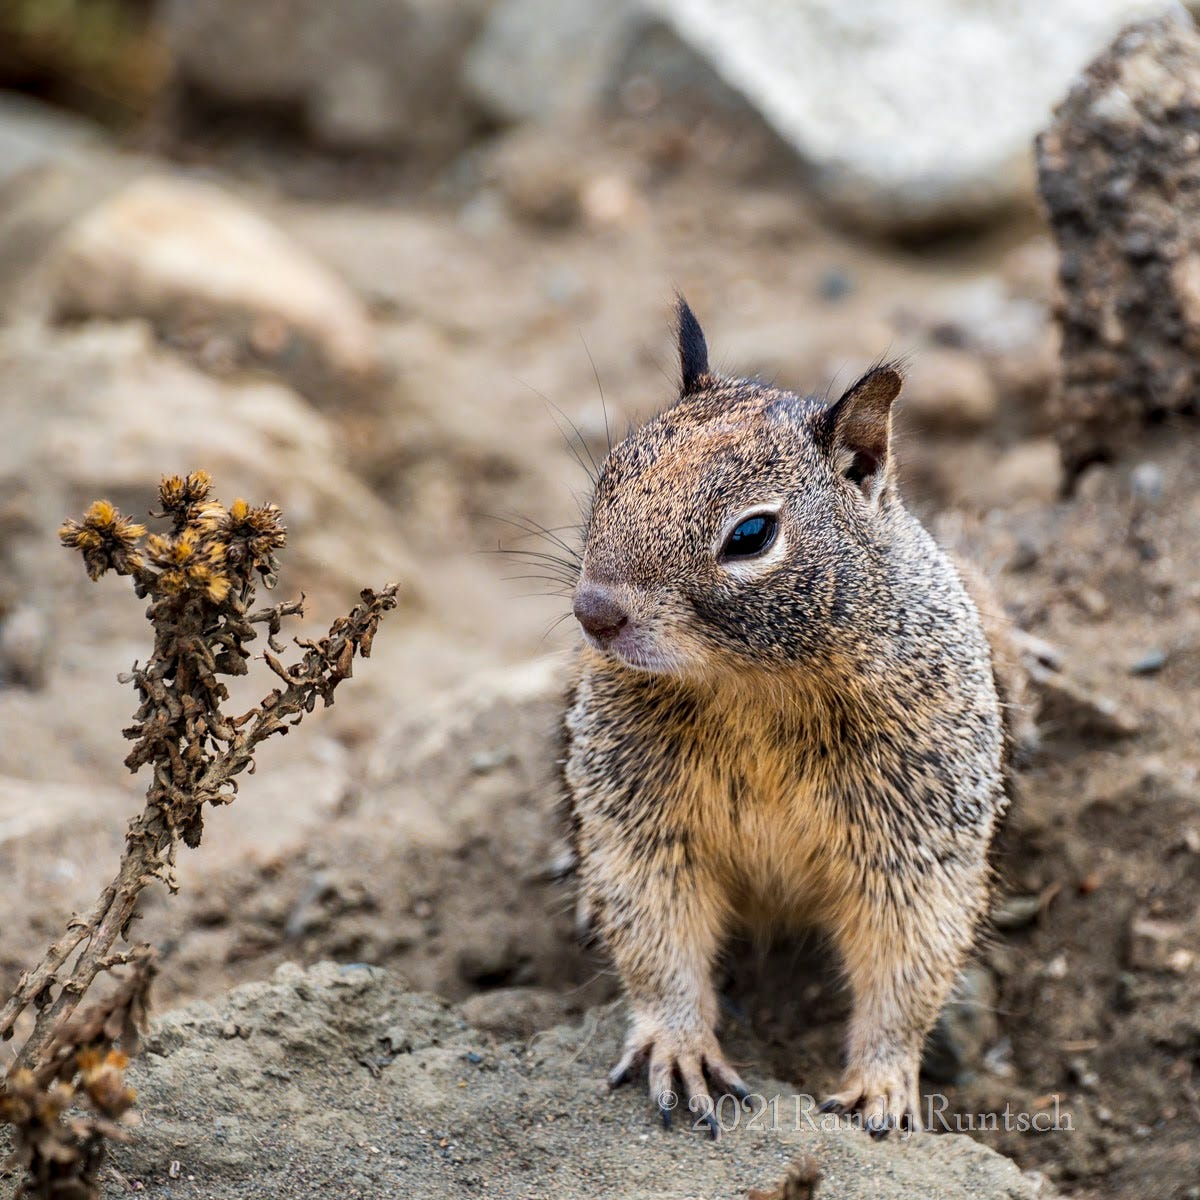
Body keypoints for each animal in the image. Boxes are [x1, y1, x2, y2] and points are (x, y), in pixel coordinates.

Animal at [564, 299, 1013, 1138]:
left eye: (751, 535)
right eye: (609, 476)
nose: (594, 611)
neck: (754, 688)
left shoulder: (918, 839)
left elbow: (909, 961)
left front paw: (881, 1083)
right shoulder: (638, 820)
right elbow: (655, 932)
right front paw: (679, 1043)